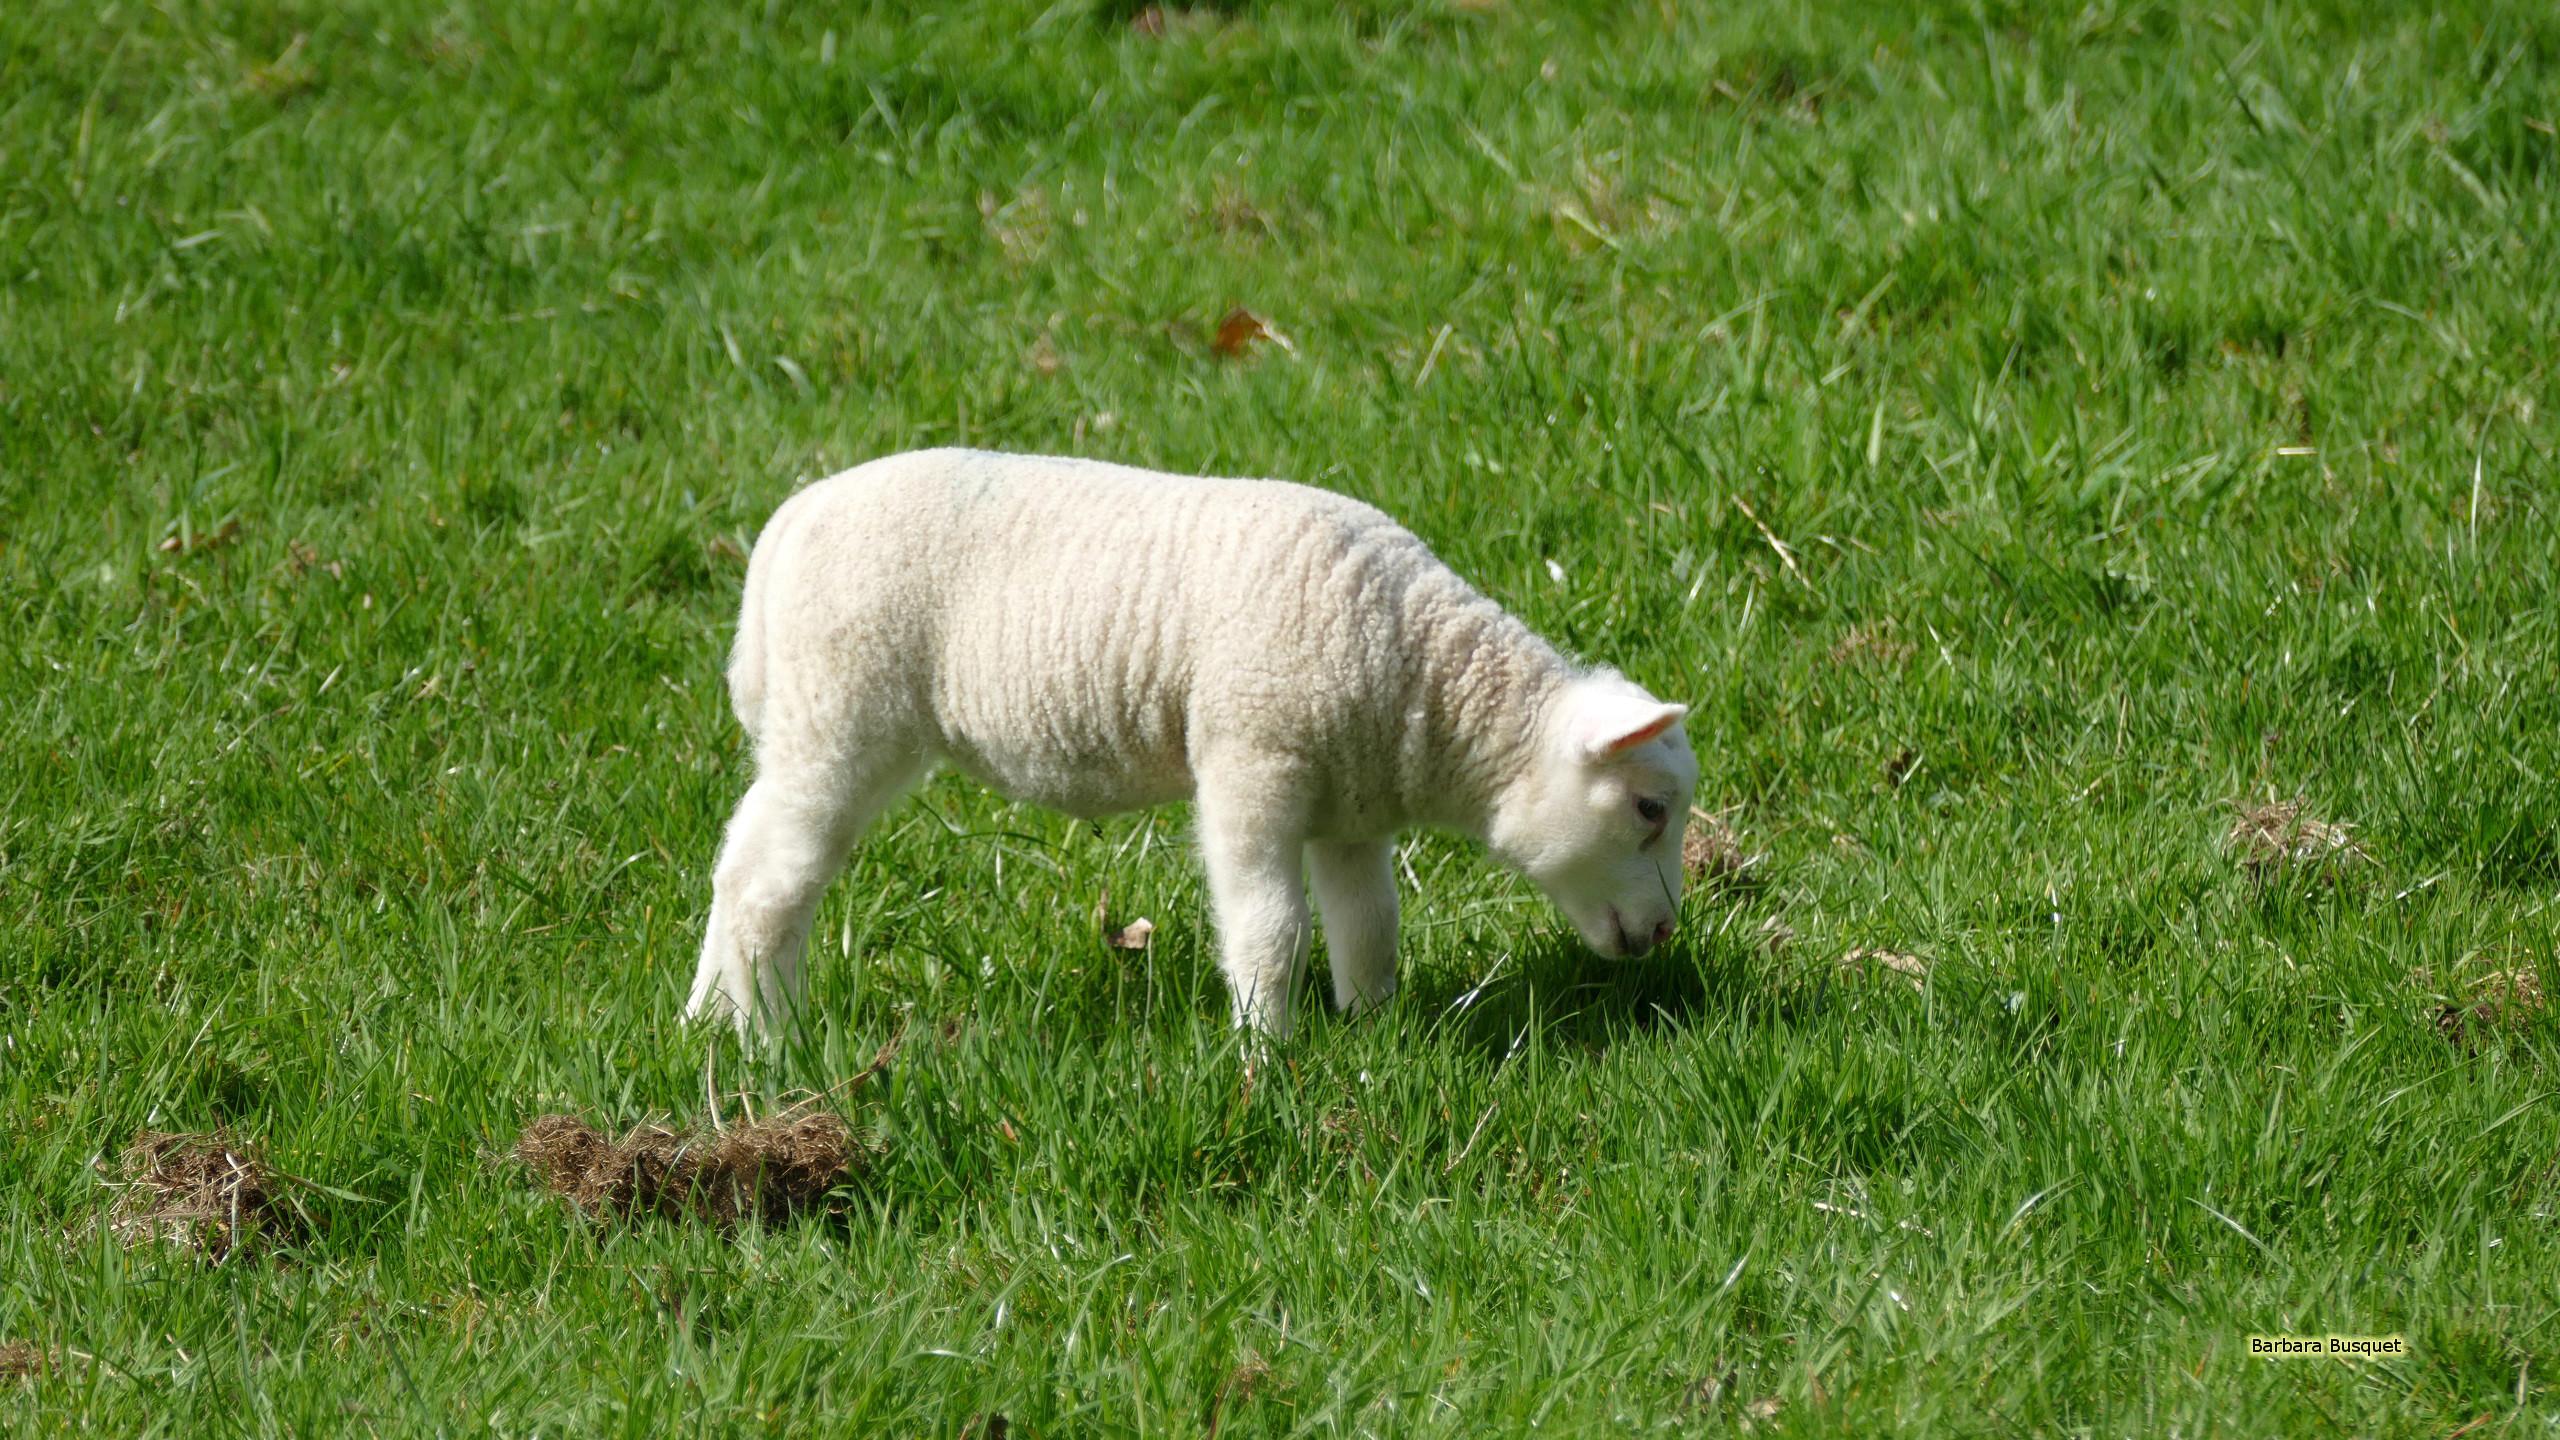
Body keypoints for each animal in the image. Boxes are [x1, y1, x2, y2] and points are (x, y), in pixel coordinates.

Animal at [685, 447, 1697, 1039]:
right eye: (1649, 810)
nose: (1664, 931)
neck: (1422, 675)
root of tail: (789, 525)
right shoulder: (1253, 758)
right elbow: (1272, 927)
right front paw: (1268, 1054)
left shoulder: (1351, 802)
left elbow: (1370, 924)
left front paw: (1374, 1030)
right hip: (842, 710)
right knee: (770, 884)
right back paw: (769, 1044)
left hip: (812, 721)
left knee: (738, 861)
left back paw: (707, 1021)